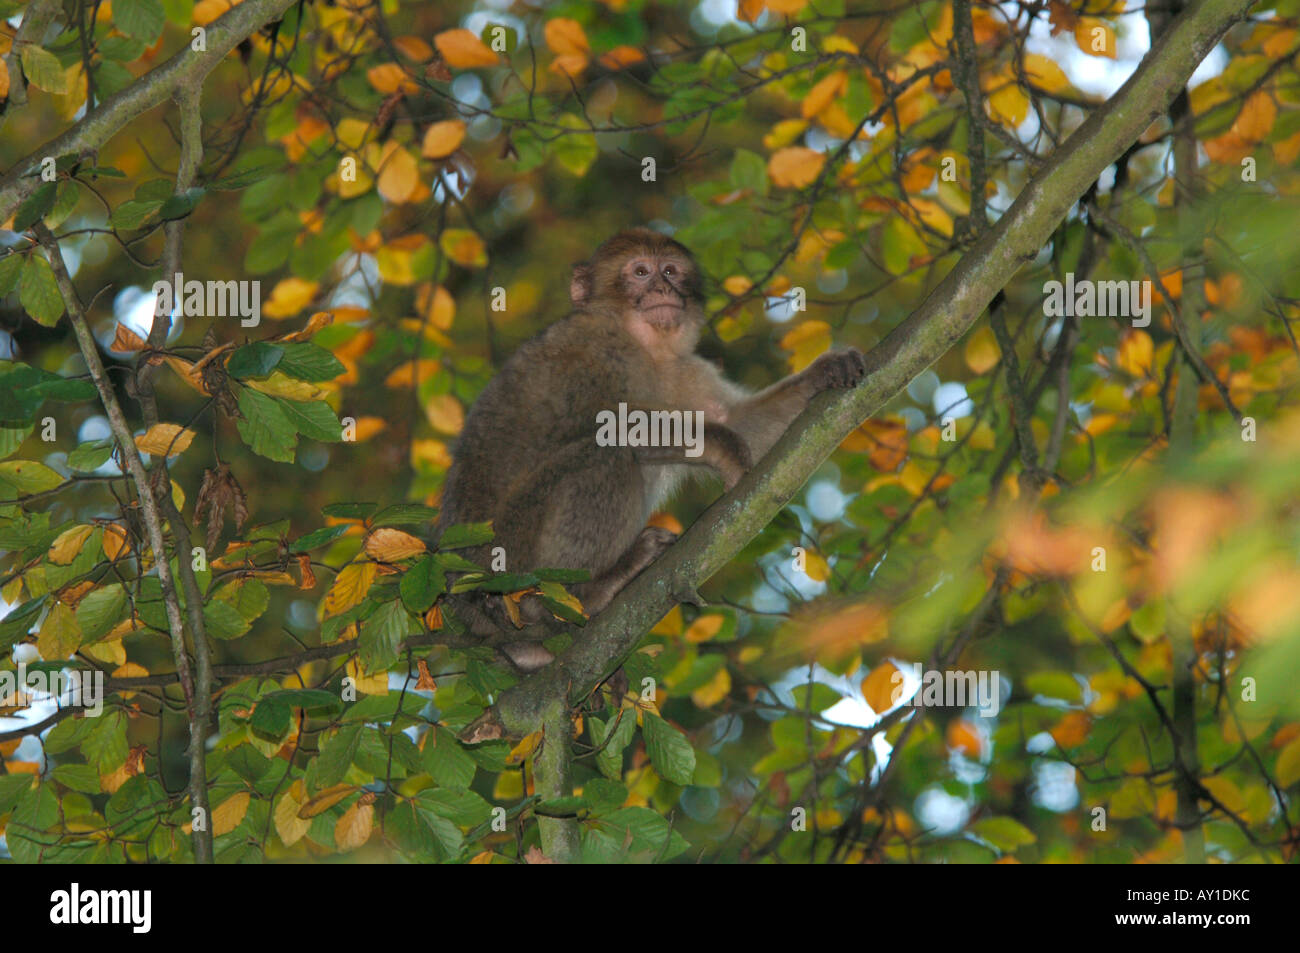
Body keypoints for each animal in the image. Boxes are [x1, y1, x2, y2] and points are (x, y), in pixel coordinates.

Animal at [434, 227, 866, 672]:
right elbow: (608, 427)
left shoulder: (684, 368)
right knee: (603, 456)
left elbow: (740, 422)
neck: (643, 345)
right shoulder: (591, 347)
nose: (663, 288)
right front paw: (723, 446)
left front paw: (821, 374)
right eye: (640, 272)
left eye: (670, 271)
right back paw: (580, 595)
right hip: (509, 556)